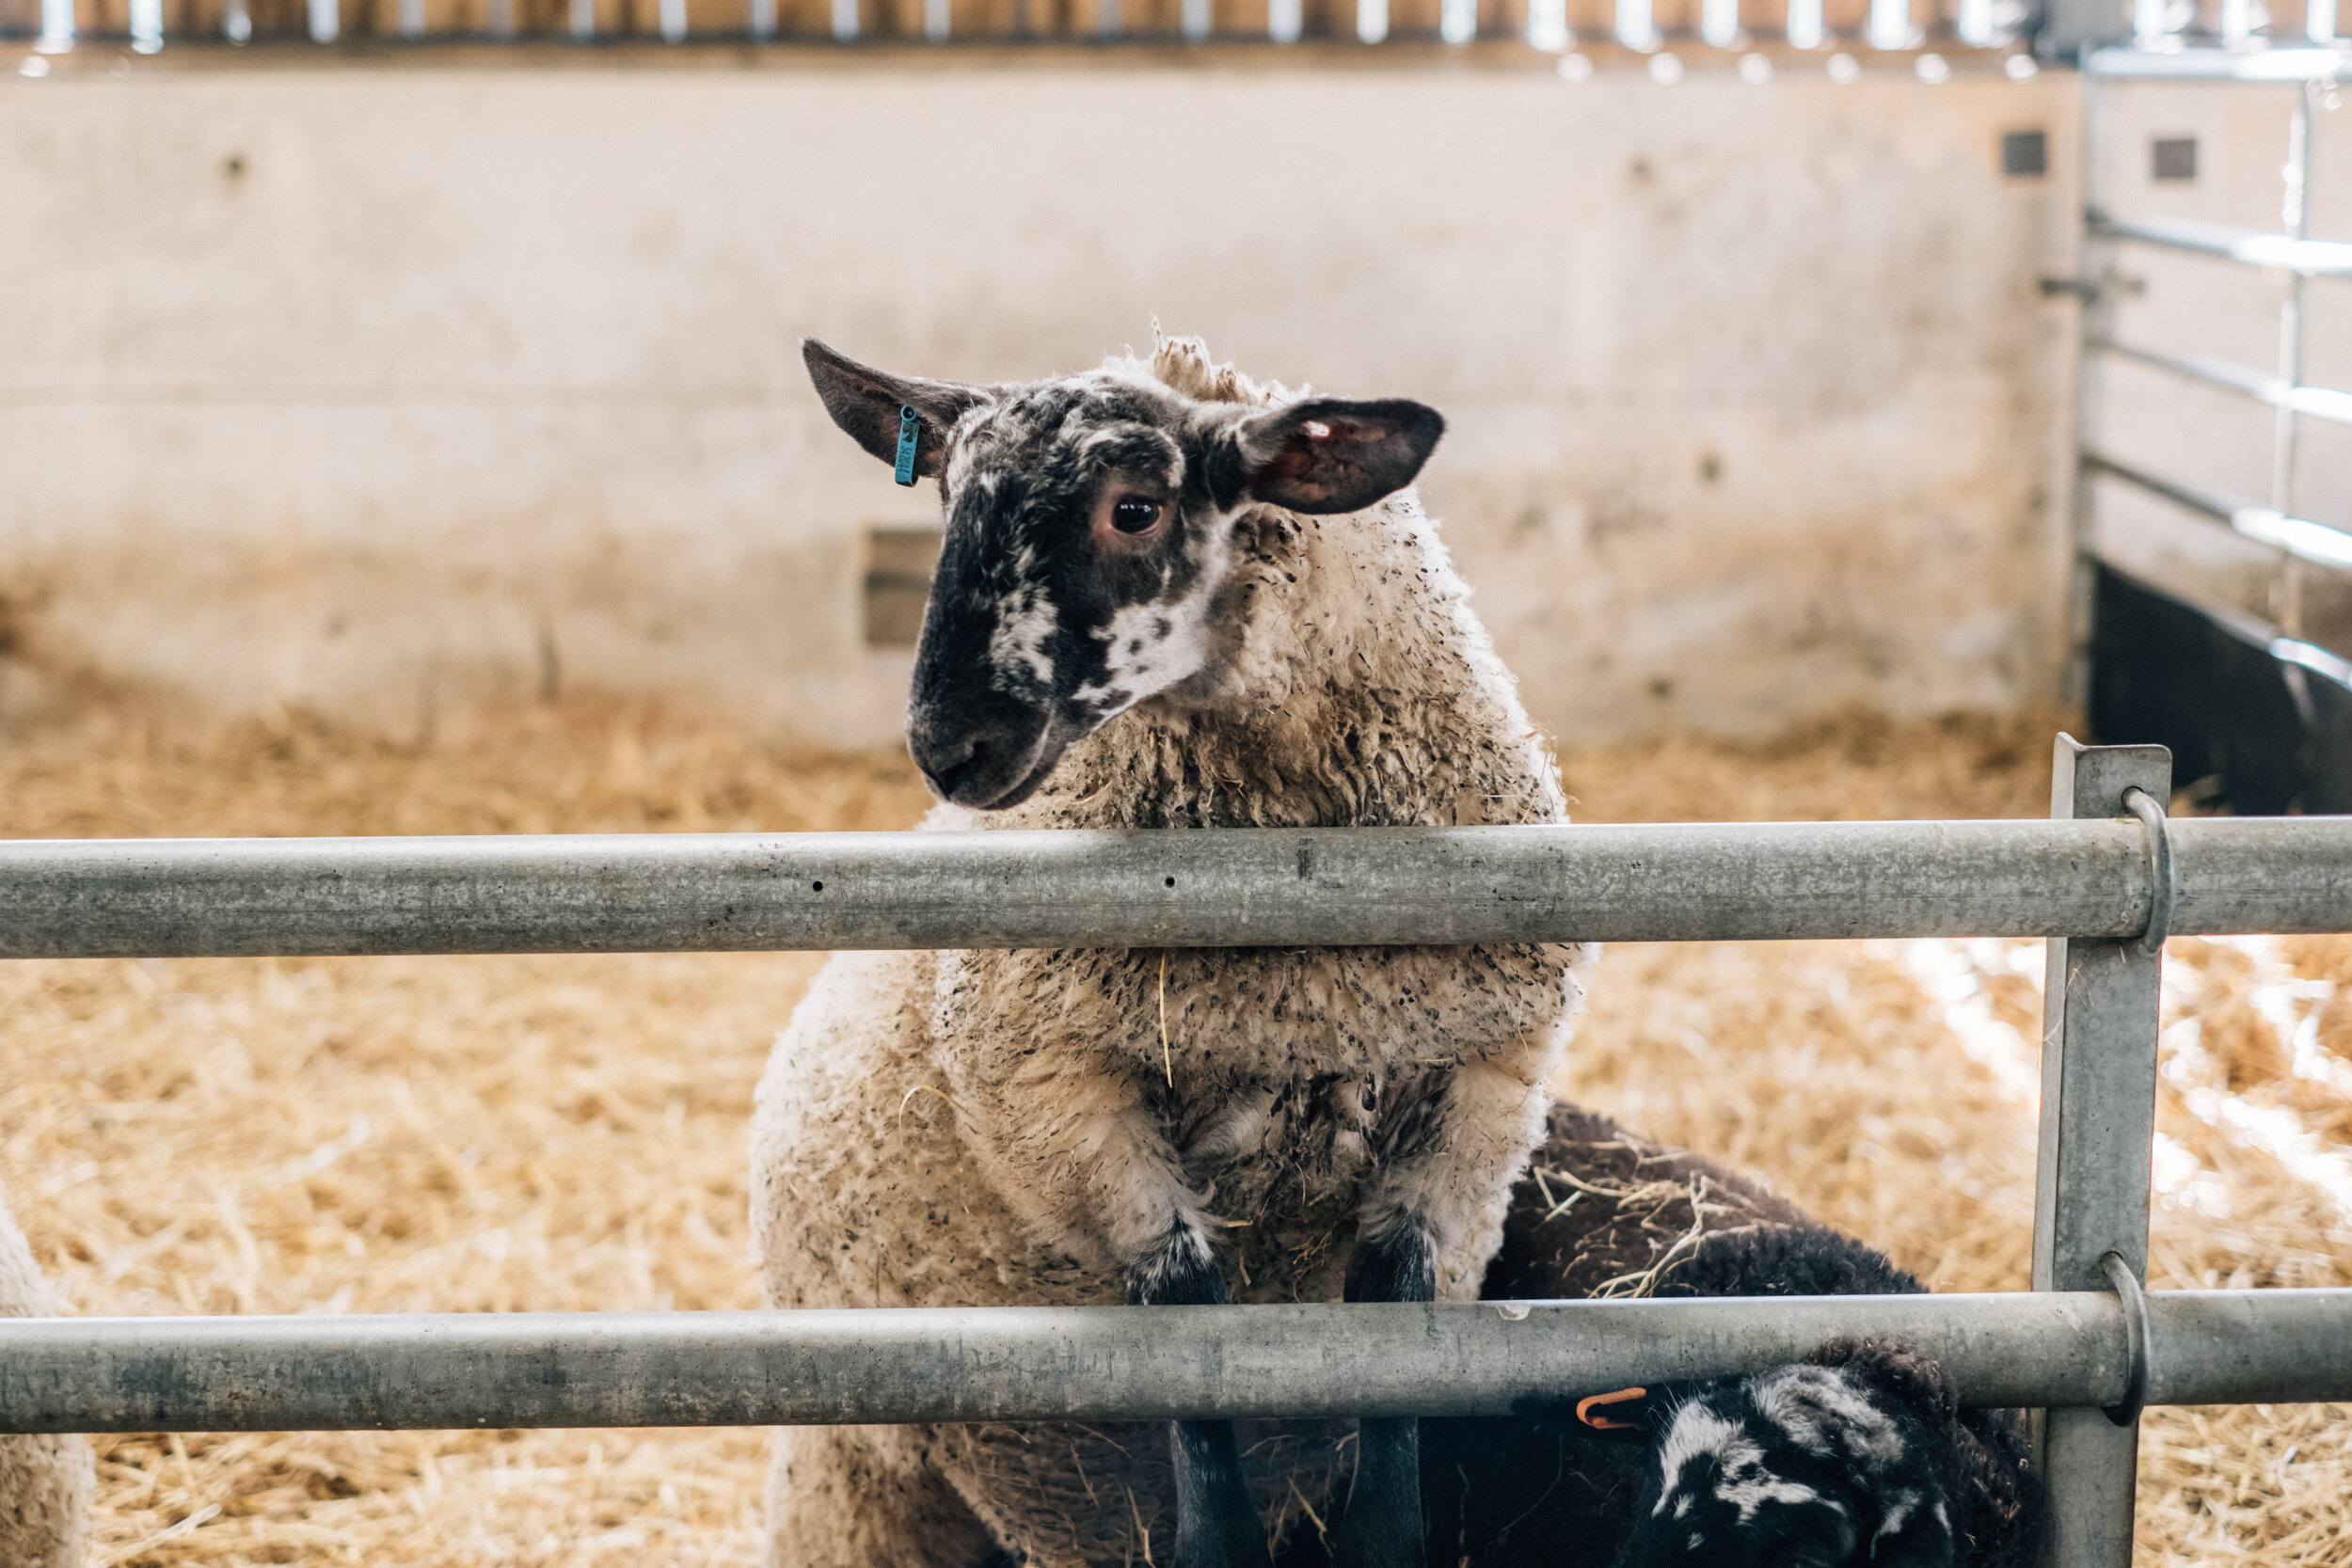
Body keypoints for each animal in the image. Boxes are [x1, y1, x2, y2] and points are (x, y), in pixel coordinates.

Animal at [754, 330, 1593, 1568]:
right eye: (947, 498)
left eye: (1135, 509)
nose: (947, 745)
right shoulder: (1054, 1094)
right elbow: (1188, 1323)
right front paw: (1216, 1539)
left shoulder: (1475, 1087)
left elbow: (1395, 1316)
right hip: (852, 1478)